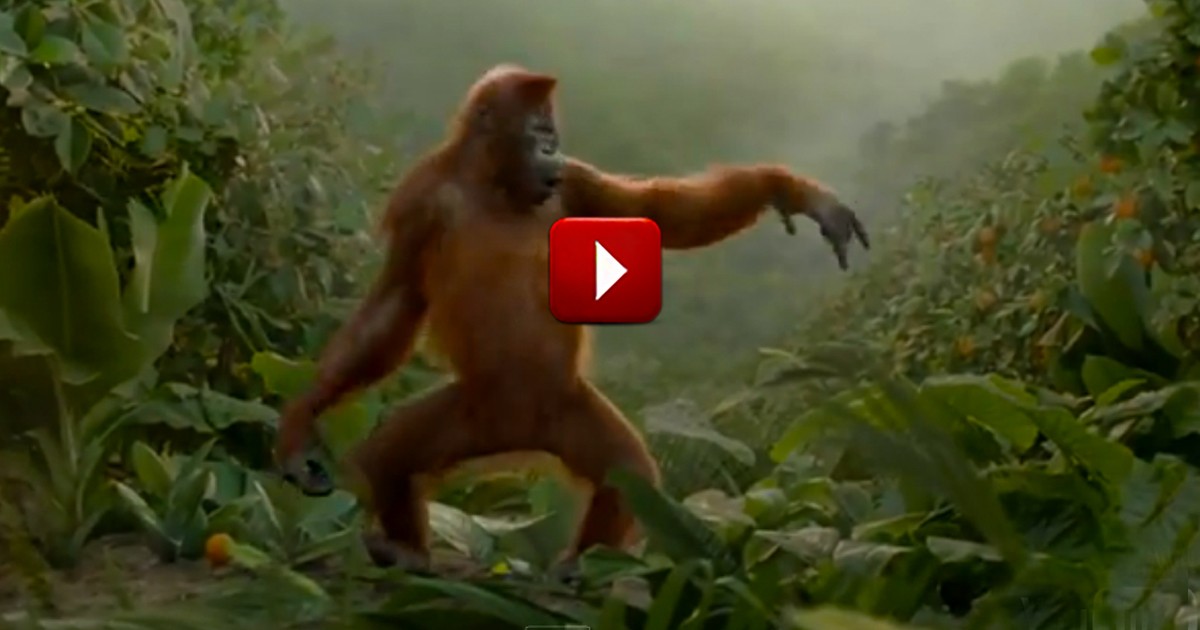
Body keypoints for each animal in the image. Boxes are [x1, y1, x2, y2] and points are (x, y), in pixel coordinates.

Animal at [273, 63, 869, 573]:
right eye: (539, 132)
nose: (551, 151)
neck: (493, 185)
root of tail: (513, 432)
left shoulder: (576, 183)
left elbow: (656, 213)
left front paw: (793, 192)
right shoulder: (420, 199)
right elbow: (396, 300)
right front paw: (303, 417)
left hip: (563, 408)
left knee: (627, 477)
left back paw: (583, 565)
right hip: (471, 410)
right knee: (388, 461)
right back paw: (405, 551)